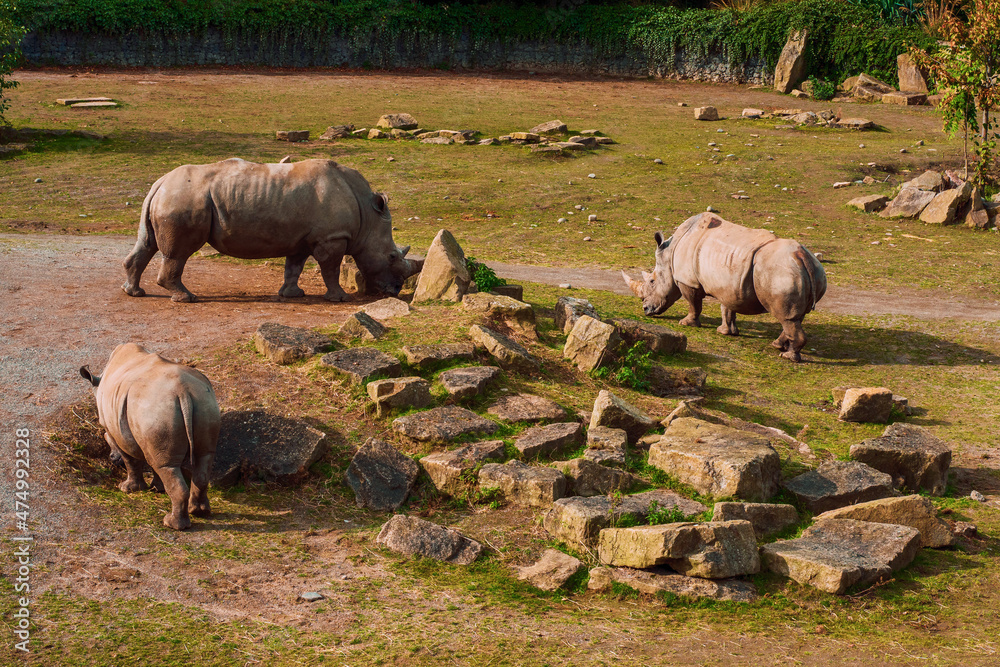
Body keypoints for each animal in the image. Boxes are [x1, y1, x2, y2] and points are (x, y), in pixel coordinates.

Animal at [80, 343, 221, 530]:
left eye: (105, 438)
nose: (111, 458)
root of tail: (183, 392)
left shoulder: (116, 431)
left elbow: (130, 460)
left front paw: (128, 489)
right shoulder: (146, 435)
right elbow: (153, 461)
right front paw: (157, 488)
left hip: (156, 410)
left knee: (166, 465)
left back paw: (172, 524)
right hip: (204, 402)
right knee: (202, 457)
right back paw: (199, 512)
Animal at [122, 158, 423, 302]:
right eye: (392, 256)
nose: (396, 290)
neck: (367, 215)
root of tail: (160, 181)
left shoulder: (303, 239)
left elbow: (294, 267)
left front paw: (292, 295)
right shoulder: (331, 238)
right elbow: (331, 269)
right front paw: (339, 298)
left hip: (171, 197)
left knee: (147, 244)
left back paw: (134, 292)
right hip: (183, 199)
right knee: (178, 253)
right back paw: (186, 299)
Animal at [623, 213, 826, 362]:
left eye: (652, 282)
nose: (645, 309)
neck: (670, 251)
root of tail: (801, 256)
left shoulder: (688, 280)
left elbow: (693, 303)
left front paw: (686, 323)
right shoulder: (729, 285)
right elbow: (727, 309)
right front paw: (726, 332)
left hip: (780, 272)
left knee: (786, 317)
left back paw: (787, 356)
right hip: (813, 271)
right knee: (793, 317)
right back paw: (777, 345)